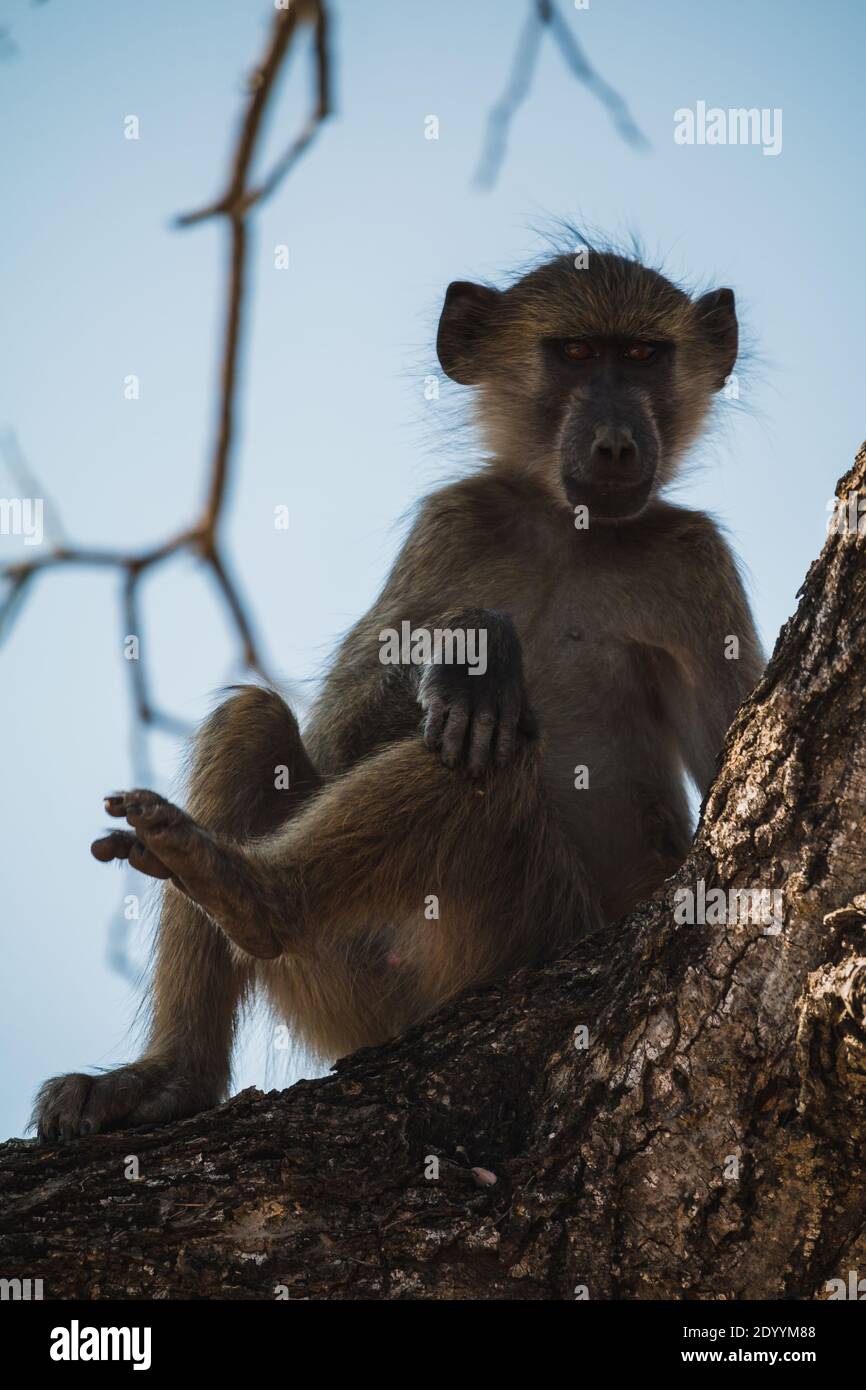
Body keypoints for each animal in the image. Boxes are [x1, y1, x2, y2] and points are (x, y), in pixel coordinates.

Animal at [33, 246, 763, 1140]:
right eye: (576, 354)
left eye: (643, 356)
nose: (619, 444)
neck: (569, 531)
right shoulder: (448, 523)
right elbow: (334, 737)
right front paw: (469, 643)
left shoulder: (696, 563)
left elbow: (736, 764)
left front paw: (476, 660)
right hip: (350, 982)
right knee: (263, 720)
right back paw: (175, 1066)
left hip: (521, 935)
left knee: (491, 755)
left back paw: (252, 896)